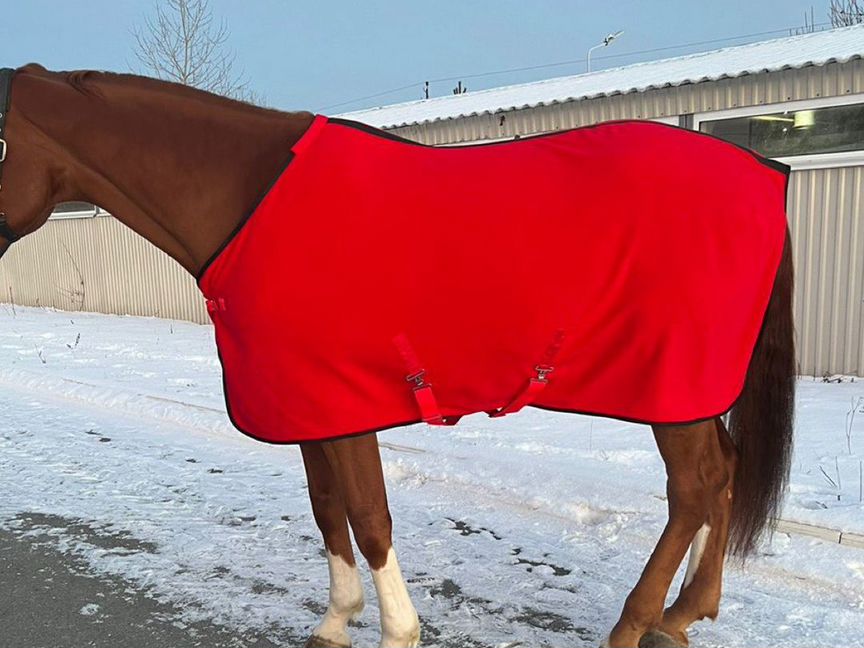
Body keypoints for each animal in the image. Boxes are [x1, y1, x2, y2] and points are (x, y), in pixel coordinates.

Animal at [0, 64, 795, 648]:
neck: (248, 203)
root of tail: (767, 172)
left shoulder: (344, 402)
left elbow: (369, 516)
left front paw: (397, 631)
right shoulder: (309, 404)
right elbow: (328, 510)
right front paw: (335, 620)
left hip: (672, 384)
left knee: (695, 487)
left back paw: (635, 625)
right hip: (691, 392)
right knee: (722, 475)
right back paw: (683, 614)